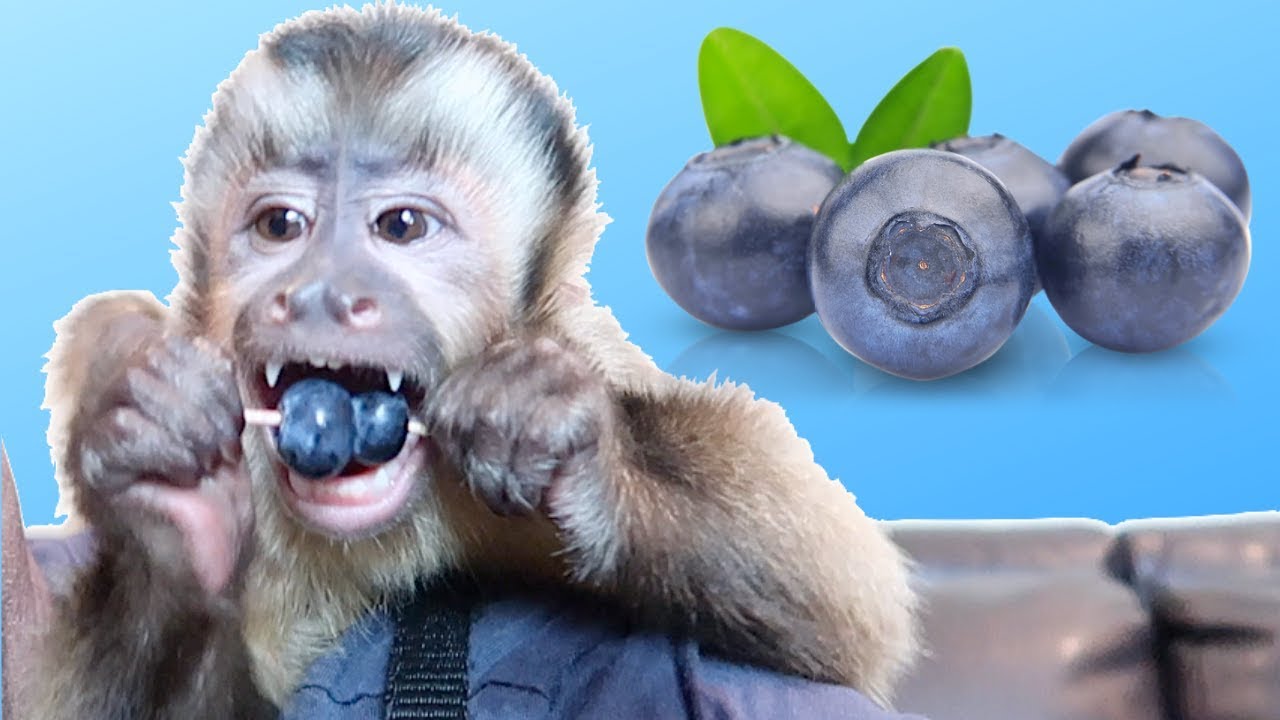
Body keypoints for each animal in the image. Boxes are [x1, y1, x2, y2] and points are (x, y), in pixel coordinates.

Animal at [8, 3, 920, 717]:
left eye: (402, 226)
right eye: (280, 226)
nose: (319, 294)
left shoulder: (582, 345)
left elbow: (852, 610)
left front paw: (573, 440)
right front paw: (176, 503)